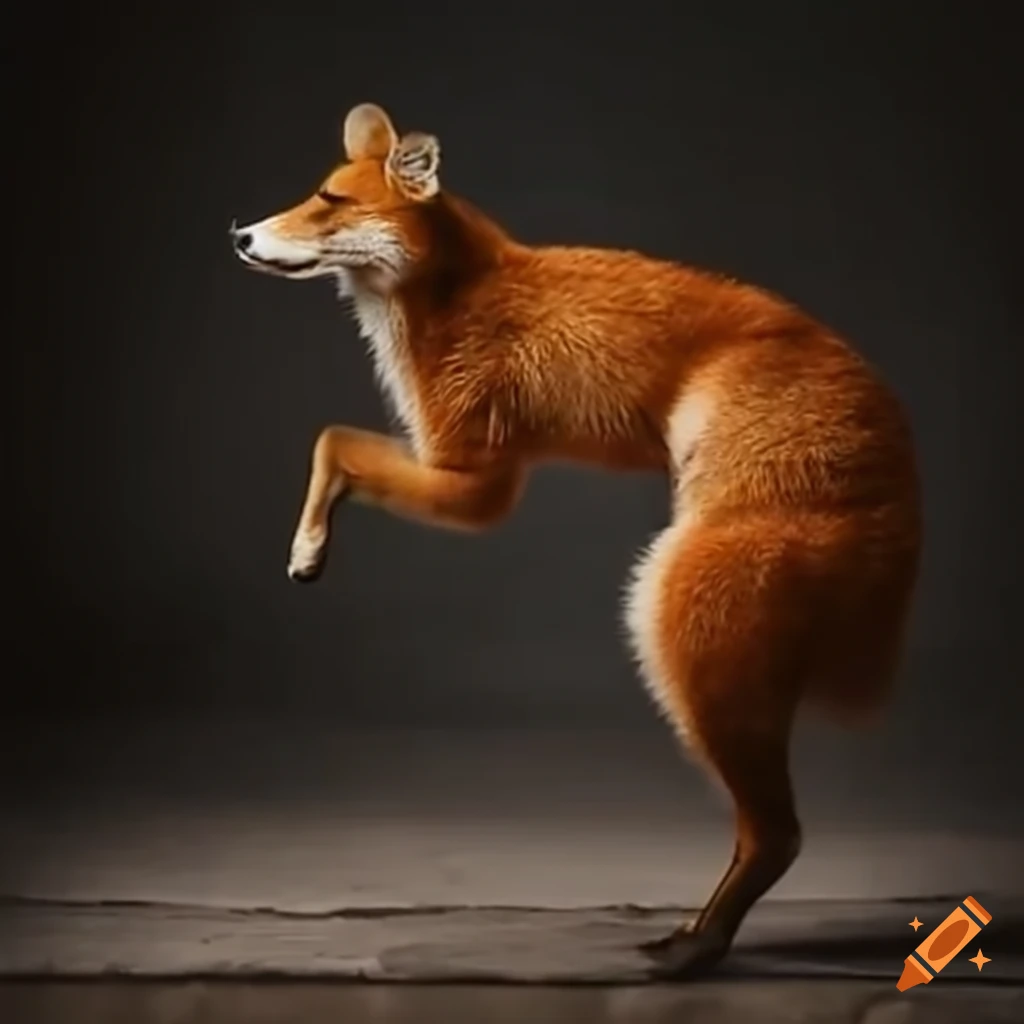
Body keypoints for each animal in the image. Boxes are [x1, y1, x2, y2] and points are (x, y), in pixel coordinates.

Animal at [230, 102, 922, 977]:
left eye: (328, 200)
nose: (239, 233)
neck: (456, 291)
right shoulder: (456, 468)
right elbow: (332, 443)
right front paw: (307, 548)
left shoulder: (475, 484)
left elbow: (330, 443)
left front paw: (308, 549)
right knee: (775, 836)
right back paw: (700, 935)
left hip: (677, 627)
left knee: (777, 836)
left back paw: (695, 950)